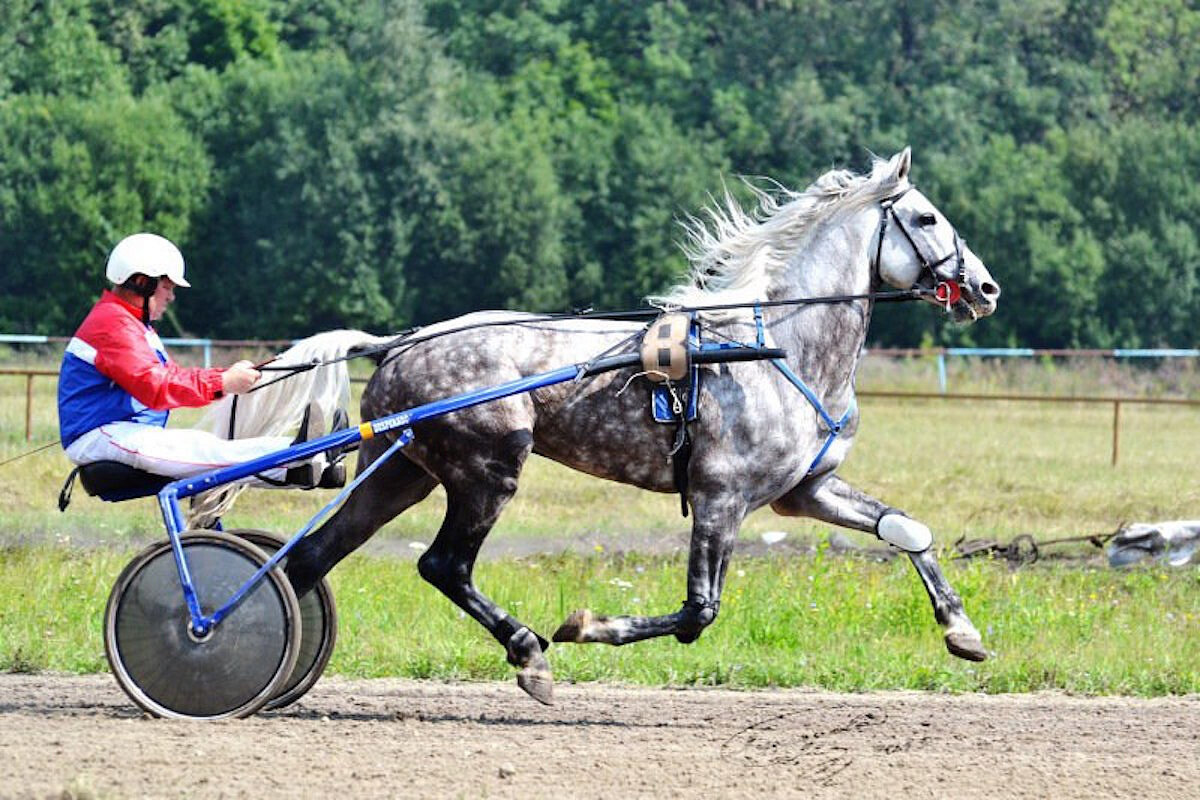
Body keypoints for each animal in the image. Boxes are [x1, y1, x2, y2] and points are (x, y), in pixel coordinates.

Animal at [285, 148, 998, 700]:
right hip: (486, 470)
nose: (987, 289)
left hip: (405, 472)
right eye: (927, 217)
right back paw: (529, 652)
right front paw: (585, 626)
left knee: (315, 557)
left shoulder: (805, 491)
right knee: (444, 566)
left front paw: (962, 631)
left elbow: (908, 529)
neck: (779, 350)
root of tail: (403, 342)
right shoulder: (719, 496)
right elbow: (697, 612)